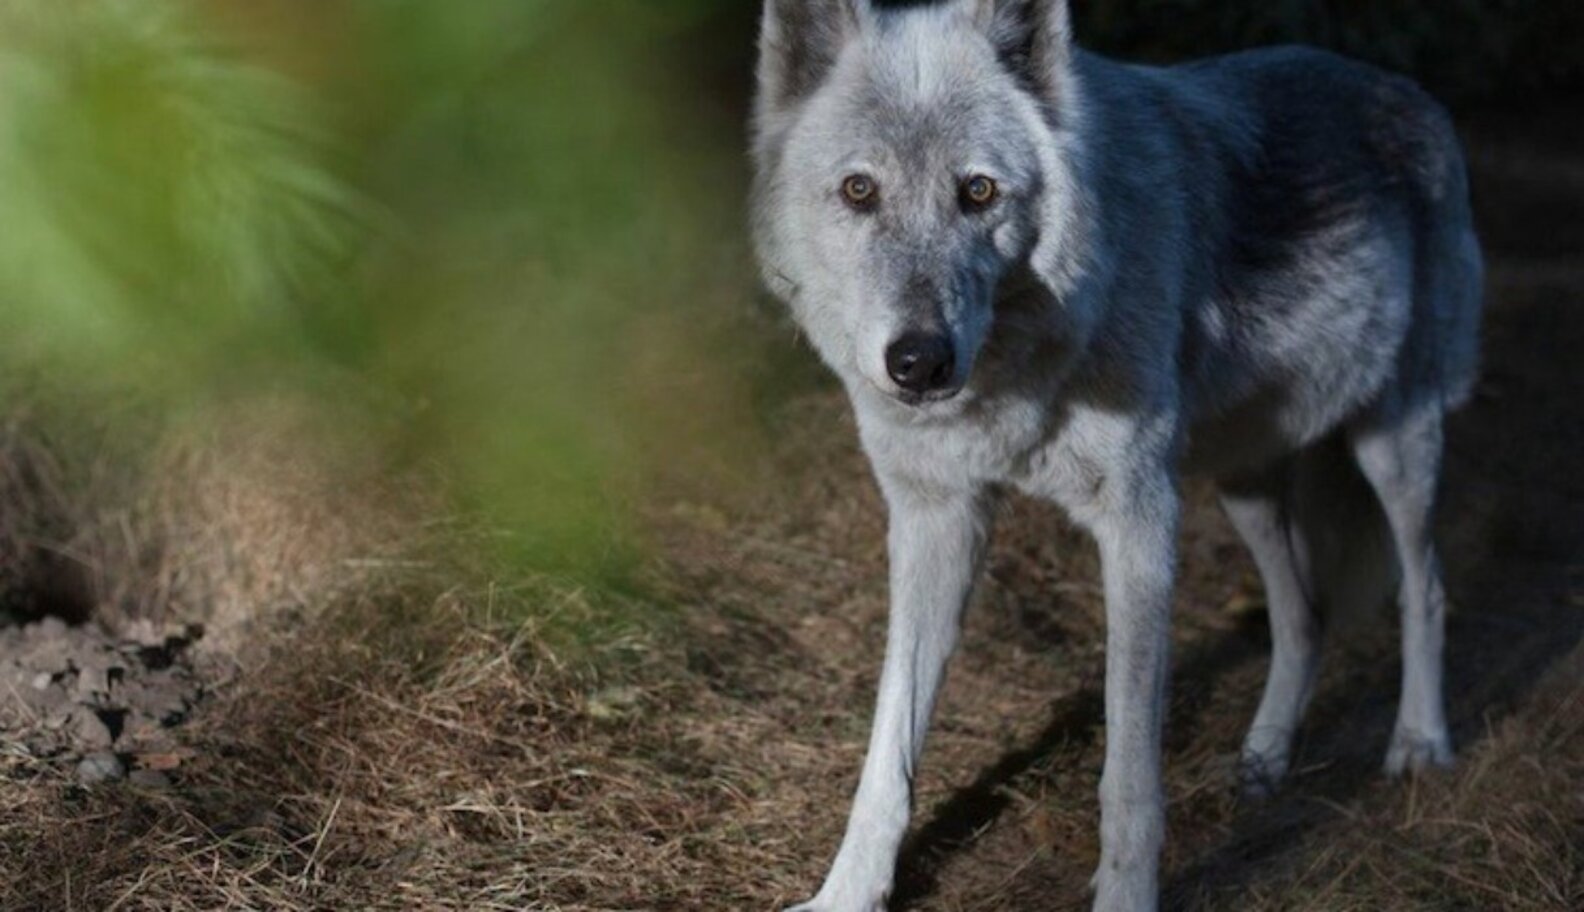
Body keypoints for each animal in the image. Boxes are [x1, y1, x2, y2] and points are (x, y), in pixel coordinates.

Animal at [750, 0, 1482, 909]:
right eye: (859, 190)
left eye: (978, 191)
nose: (918, 361)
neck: (1019, 370)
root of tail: (1406, 89)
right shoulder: (934, 523)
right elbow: (888, 749)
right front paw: (847, 891)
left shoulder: (1138, 525)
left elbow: (1128, 771)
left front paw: (1125, 892)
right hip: (1242, 482)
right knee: (1302, 615)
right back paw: (1266, 757)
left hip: (1392, 445)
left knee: (1426, 586)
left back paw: (1418, 742)